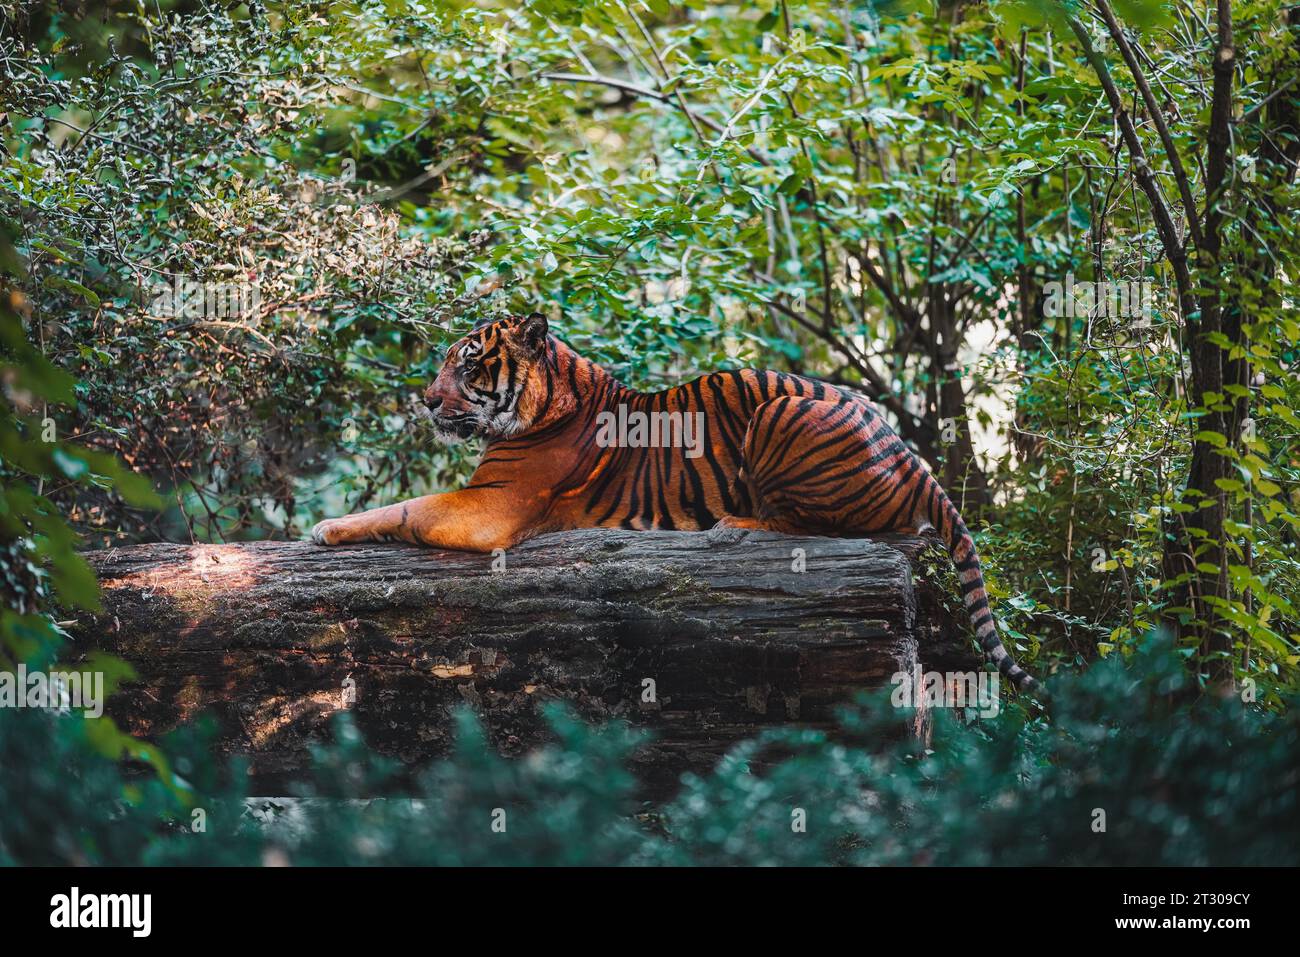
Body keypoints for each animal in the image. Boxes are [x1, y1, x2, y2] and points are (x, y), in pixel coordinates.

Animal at [311, 312, 1038, 691]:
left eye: (468, 364)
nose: (426, 400)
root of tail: (909, 451)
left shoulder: (489, 505)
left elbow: (404, 507)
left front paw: (323, 527)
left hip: (779, 410)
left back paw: (737, 521)